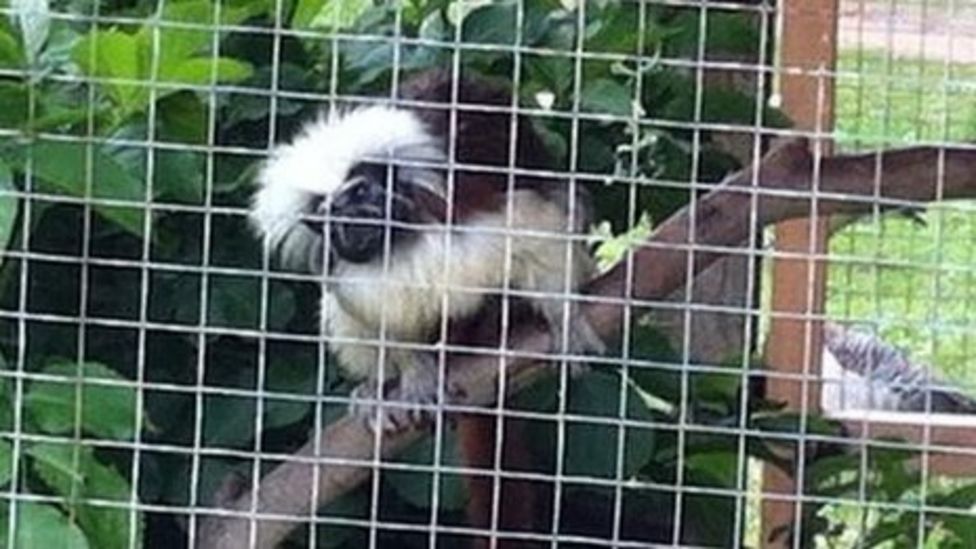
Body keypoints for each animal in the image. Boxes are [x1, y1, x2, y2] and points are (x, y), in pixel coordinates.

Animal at [249, 69, 604, 545]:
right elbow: (381, 322)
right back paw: (379, 389)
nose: (351, 223)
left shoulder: (473, 217)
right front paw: (414, 372)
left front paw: (564, 319)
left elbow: (537, 233)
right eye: (330, 214)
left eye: (359, 193)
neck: (403, 245)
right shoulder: (351, 277)